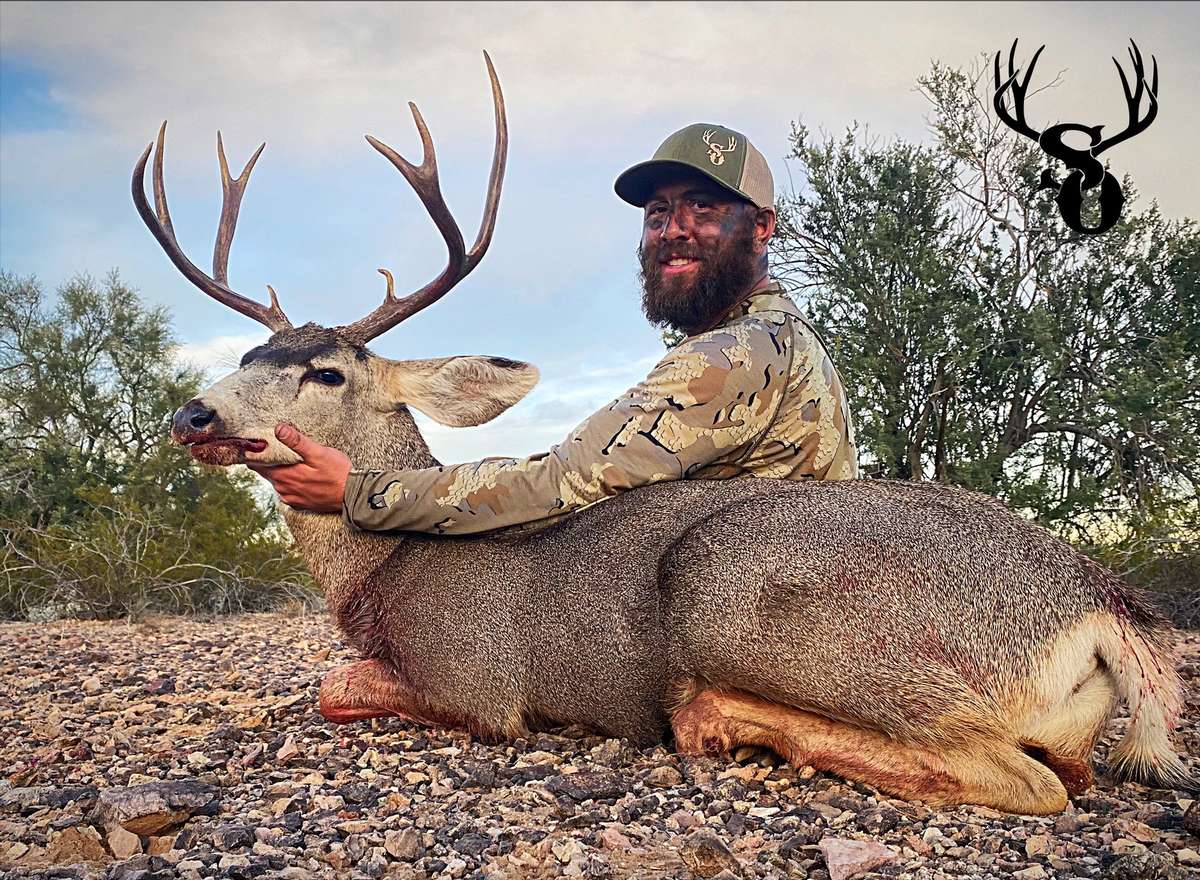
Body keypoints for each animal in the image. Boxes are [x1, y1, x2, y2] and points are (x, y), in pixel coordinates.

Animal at [138, 54, 1193, 815]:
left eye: (327, 371)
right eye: (248, 351)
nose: (195, 414)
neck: (387, 571)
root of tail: (1104, 602)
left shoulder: (474, 680)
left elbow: (337, 683)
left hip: (752, 596)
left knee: (1029, 781)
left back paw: (718, 716)